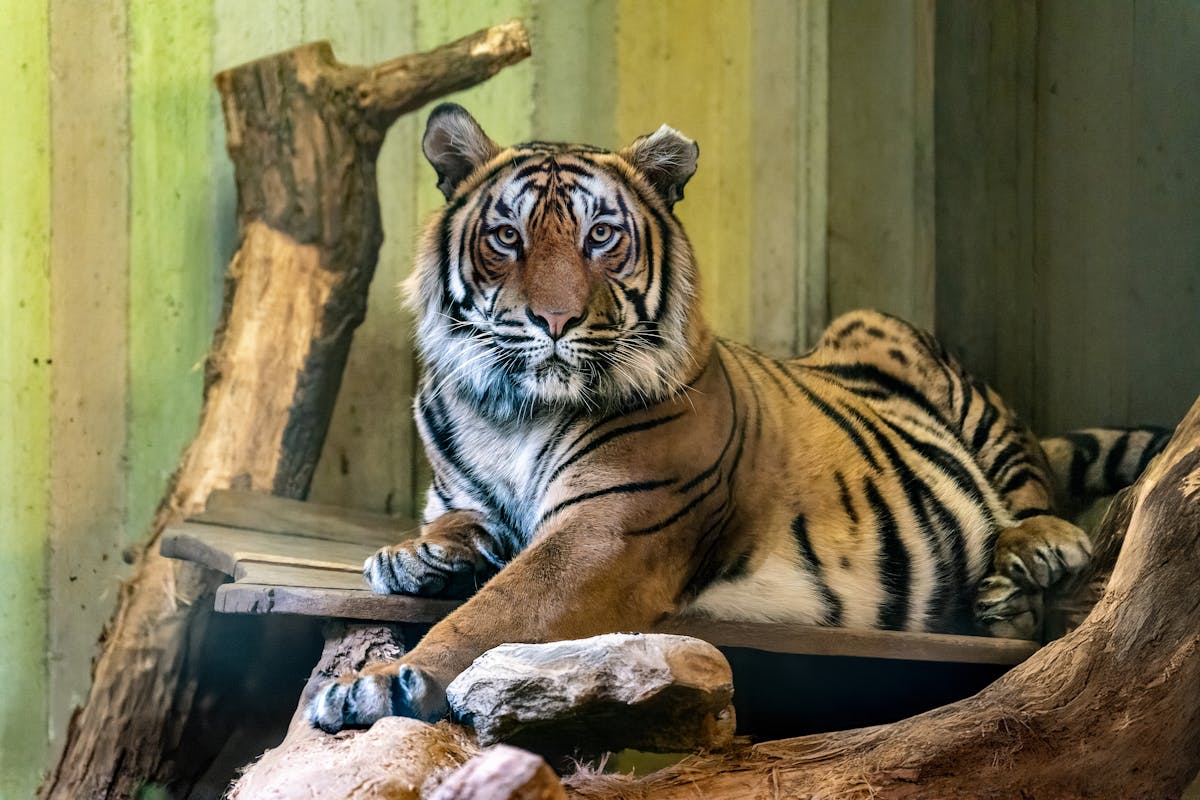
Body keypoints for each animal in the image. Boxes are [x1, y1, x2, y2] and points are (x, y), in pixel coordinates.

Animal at [309, 103, 1171, 732]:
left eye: (601, 236)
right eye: (507, 237)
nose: (553, 321)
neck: (511, 411)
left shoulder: (606, 533)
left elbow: (495, 615)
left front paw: (383, 682)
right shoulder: (476, 495)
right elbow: (453, 525)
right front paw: (414, 556)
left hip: (911, 353)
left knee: (1027, 485)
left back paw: (1030, 555)